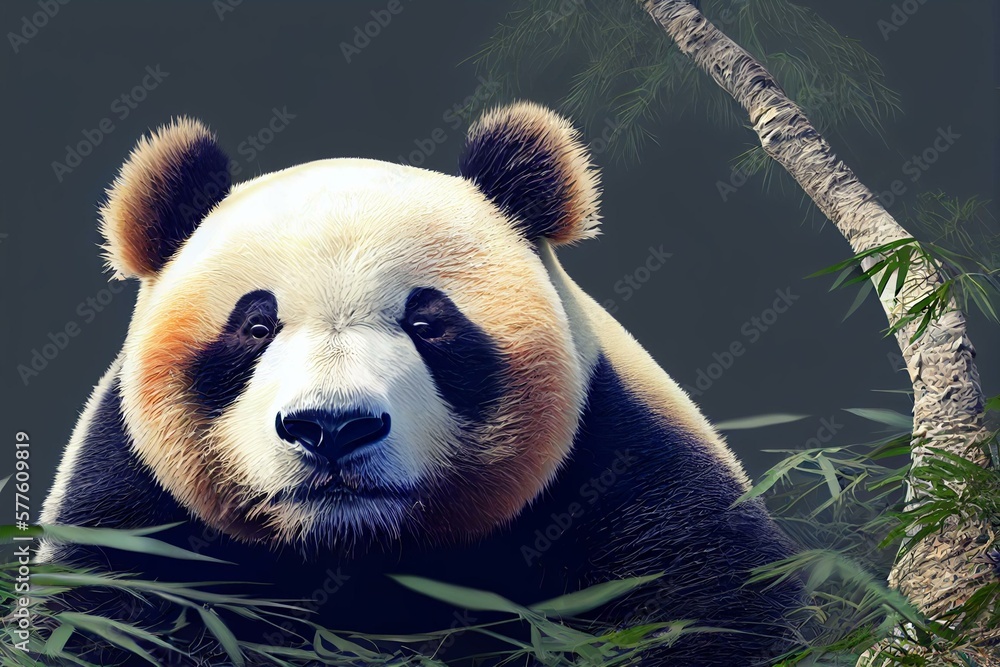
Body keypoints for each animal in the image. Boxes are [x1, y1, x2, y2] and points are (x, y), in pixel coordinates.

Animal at [39, 102, 804, 666]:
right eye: (256, 325)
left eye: (428, 321)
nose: (333, 428)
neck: (358, 551)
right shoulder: (136, 517)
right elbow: (104, 620)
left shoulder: (619, 470)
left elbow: (707, 606)